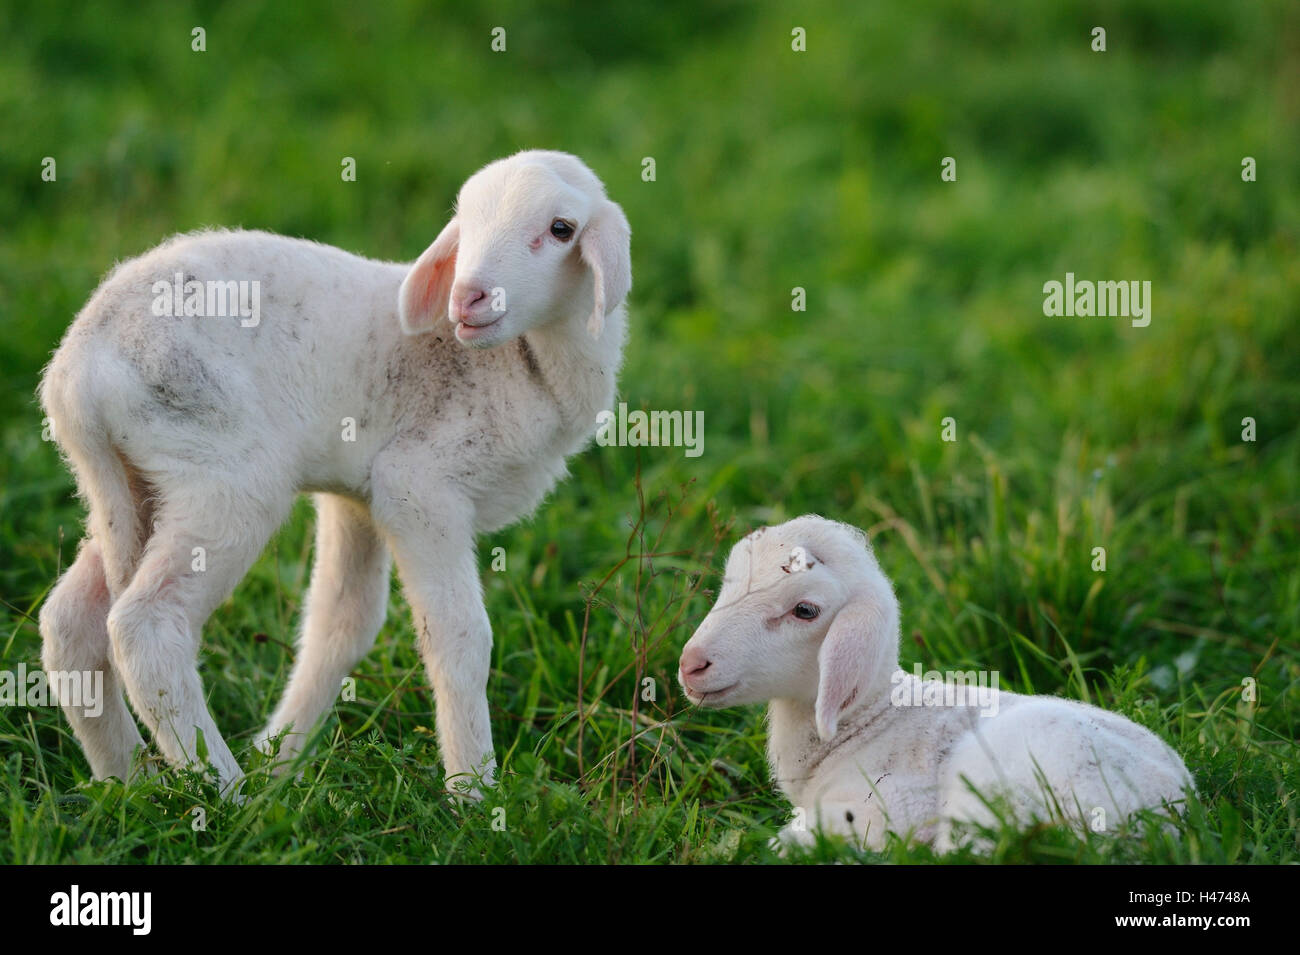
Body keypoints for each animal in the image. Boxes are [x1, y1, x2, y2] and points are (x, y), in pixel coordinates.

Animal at [38, 149, 631, 799]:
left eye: (561, 230)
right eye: (465, 222)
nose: (468, 296)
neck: (525, 364)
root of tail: (77, 375)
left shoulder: (358, 499)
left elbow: (340, 625)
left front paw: (282, 757)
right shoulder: (417, 487)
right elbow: (460, 640)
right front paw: (472, 792)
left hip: (136, 485)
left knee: (71, 622)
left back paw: (128, 780)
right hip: (223, 474)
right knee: (145, 627)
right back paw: (225, 792)